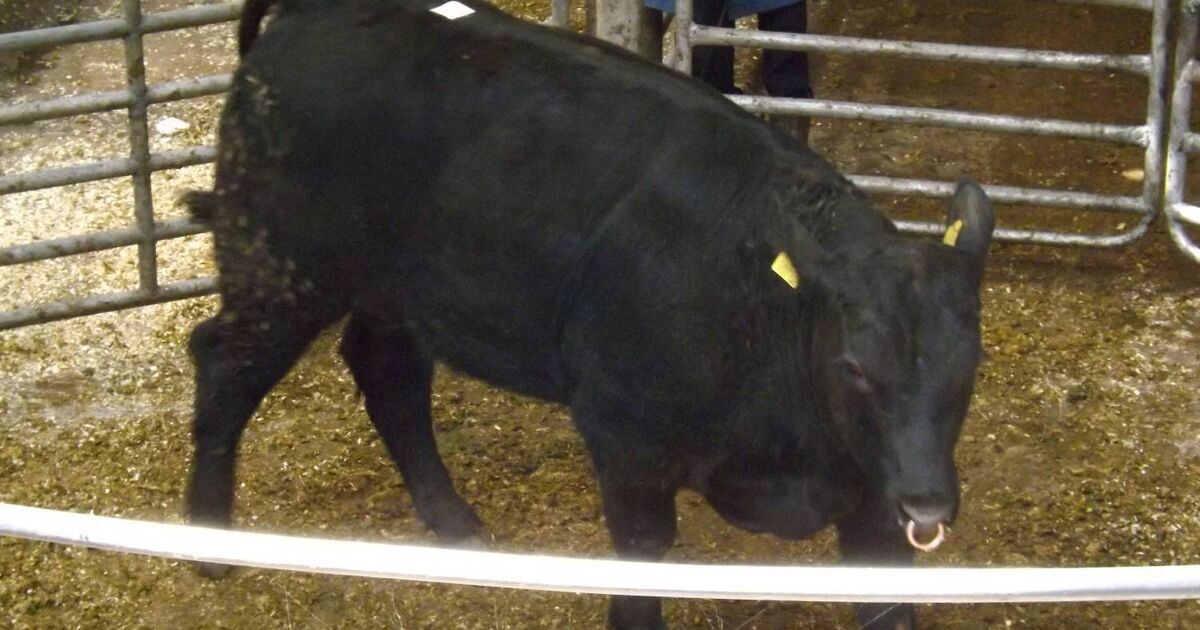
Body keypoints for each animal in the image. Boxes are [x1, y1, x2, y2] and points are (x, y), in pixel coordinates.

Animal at [183, 0, 995, 628]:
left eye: (971, 365)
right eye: (854, 365)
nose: (929, 505)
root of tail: (312, 13)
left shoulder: (875, 492)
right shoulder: (625, 437)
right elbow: (641, 560)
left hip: (398, 291)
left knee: (388, 374)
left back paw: (454, 523)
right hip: (281, 268)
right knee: (224, 361)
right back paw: (208, 541)